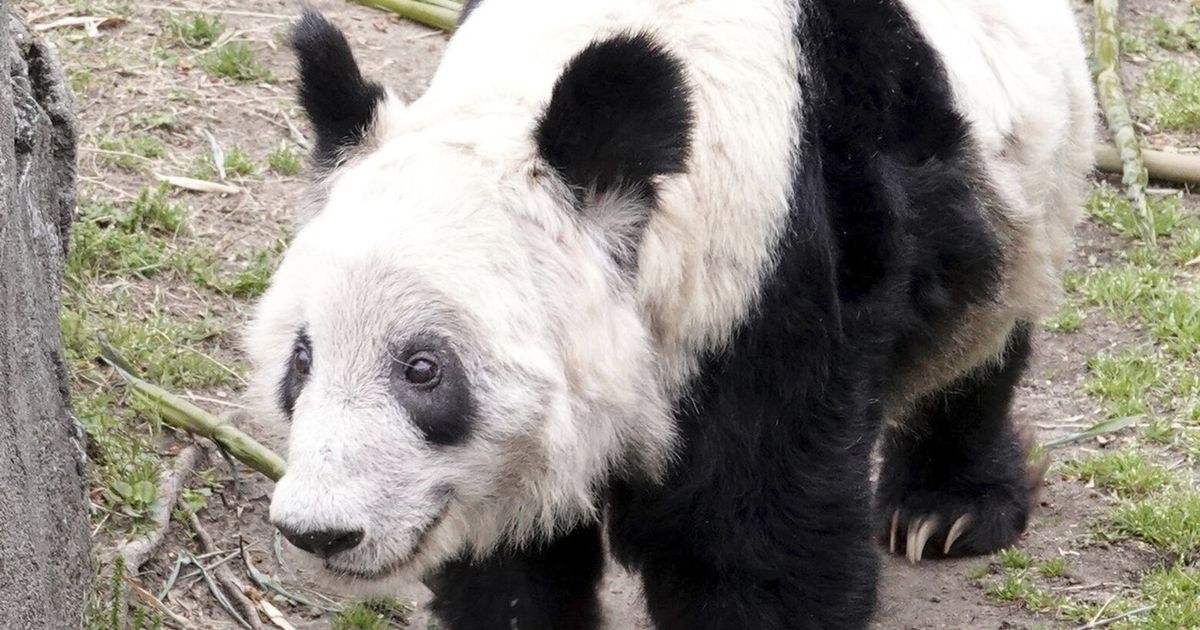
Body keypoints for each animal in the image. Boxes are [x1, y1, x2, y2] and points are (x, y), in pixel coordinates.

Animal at [247, 0, 1095, 628]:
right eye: (302, 359)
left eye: (423, 369)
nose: (319, 530)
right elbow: (512, 567)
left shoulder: (765, 276)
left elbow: (756, 543)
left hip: (1022, 192)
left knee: (983, 344)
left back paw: (946, 511)